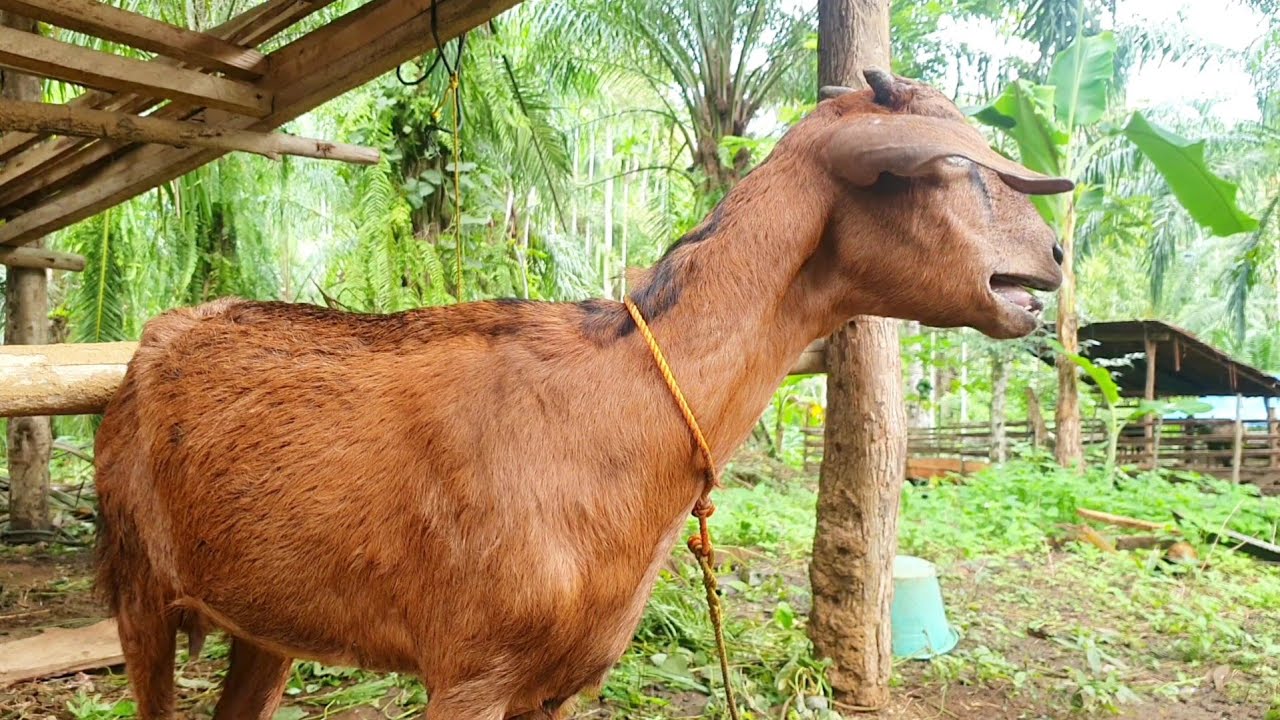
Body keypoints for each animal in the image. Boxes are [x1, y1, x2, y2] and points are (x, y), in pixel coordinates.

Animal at [94, 70, 1071, 720]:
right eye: (959, 167)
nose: (1058, 254)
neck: (613, 409)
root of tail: (144, 347)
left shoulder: (562, 682)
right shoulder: (469, 669)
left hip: (265, 619)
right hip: (137, 579)